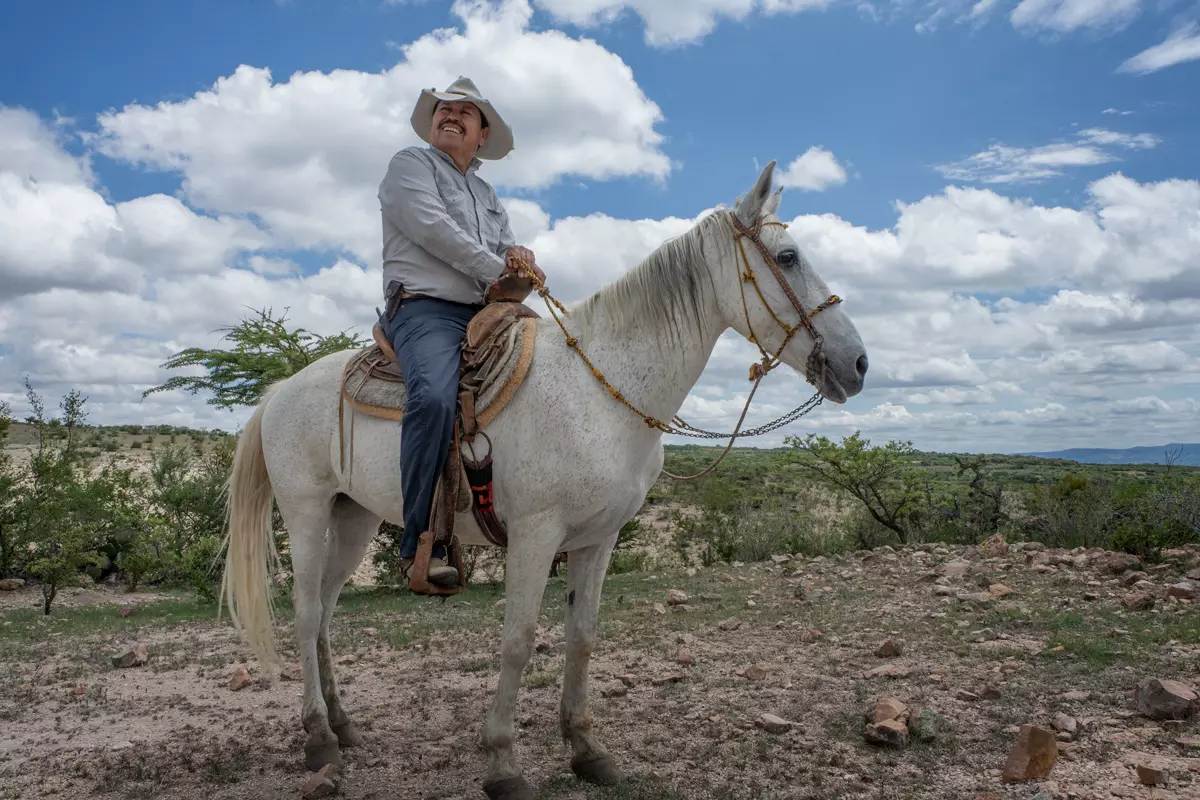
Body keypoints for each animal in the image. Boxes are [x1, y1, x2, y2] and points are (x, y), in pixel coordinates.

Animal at [220, 159, 868, 796]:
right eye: (788, 257)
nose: (858, 364)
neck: (602, 390)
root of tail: (280, 391)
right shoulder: (534, 535)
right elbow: (519, 639)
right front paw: (503, 763)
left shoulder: (598, 538)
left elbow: (582, 636)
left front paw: (586, 750)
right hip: (306, 512)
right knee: (306, 611)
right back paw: (317, 738)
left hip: (352, 517)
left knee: (327, 612)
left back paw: (343, 725)